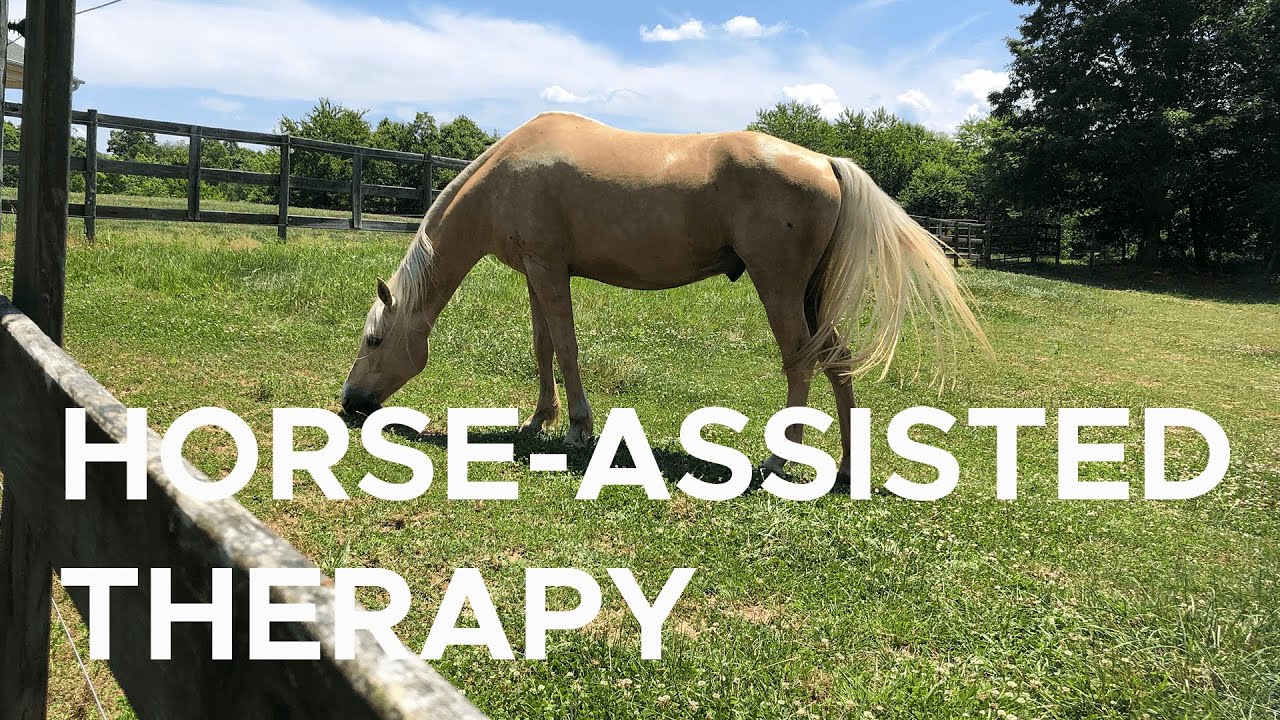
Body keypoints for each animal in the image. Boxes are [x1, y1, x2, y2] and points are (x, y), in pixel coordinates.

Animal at [339, 111, 986, 480]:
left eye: (374, 339)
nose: (350, 404)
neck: (507, 173)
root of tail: (826, 162)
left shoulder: (549, 270)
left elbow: (566, 348)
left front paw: (577, 429)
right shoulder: (537, 273)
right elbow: (543, 347)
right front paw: (540, 419)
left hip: (778, 287)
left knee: (801, 361)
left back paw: (780, 458)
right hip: (810, 294)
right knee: (838, 361)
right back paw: (848, 466)